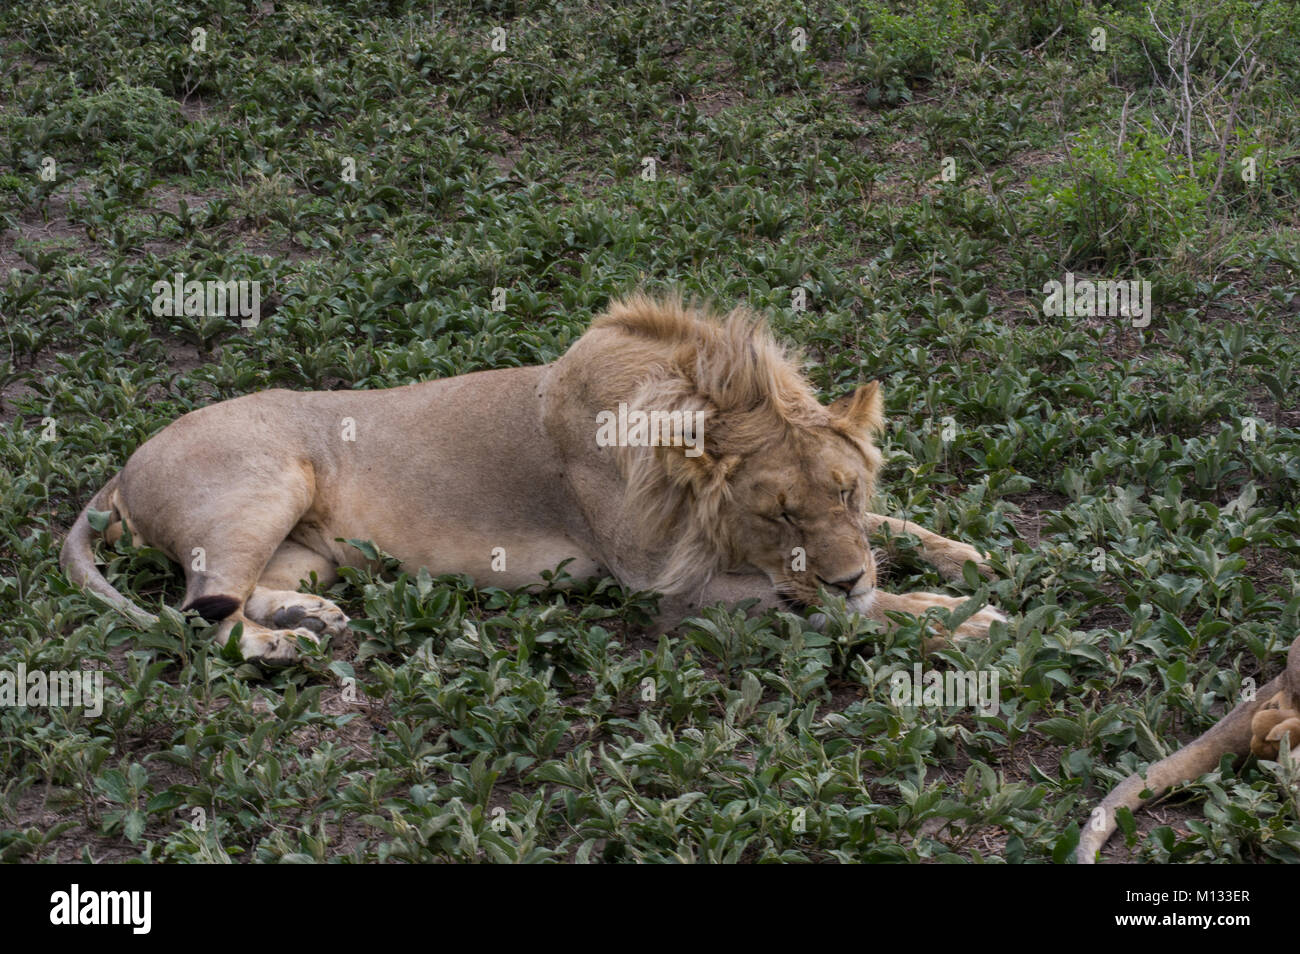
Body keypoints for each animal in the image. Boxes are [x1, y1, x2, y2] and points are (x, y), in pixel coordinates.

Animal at [60, 294, 1005, 665]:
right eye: (777, 517)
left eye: (844, 492)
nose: (845, 575)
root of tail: (120, 469)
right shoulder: (666, 586)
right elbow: (849, 611)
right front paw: (960, 618)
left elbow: (892, 534)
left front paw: (962, 558)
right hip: (263, 482)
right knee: (200, 613)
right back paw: (284, 646)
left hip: (309, 548)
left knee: (242, 588)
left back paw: (312, 617)